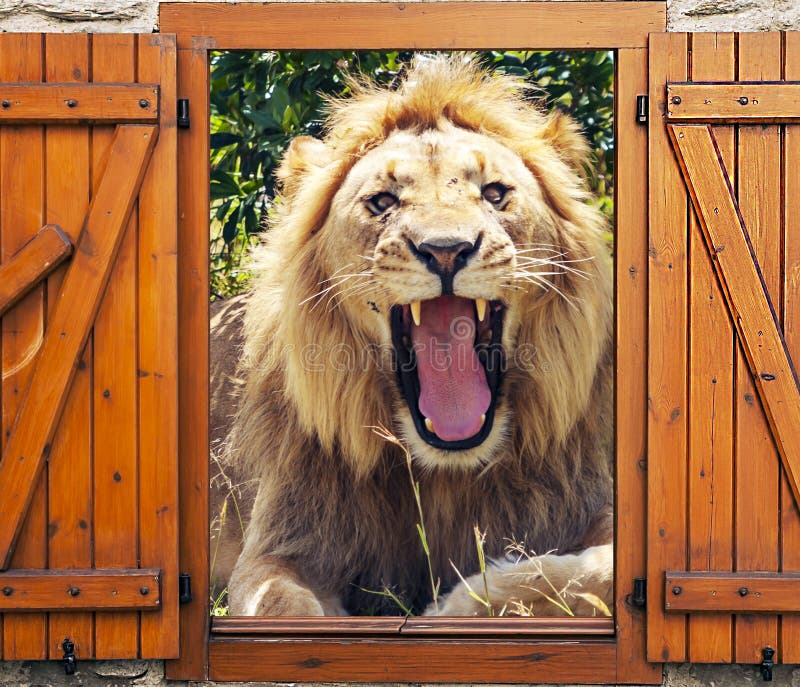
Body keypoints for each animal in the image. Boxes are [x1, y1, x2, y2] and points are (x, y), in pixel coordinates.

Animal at [211, 53, 613, 617]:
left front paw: (459, 605)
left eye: (495, 193)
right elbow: (280, 608)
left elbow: (585, 572)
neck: (445, 471)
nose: (446, 250)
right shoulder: (281, 546)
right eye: (382, 202)